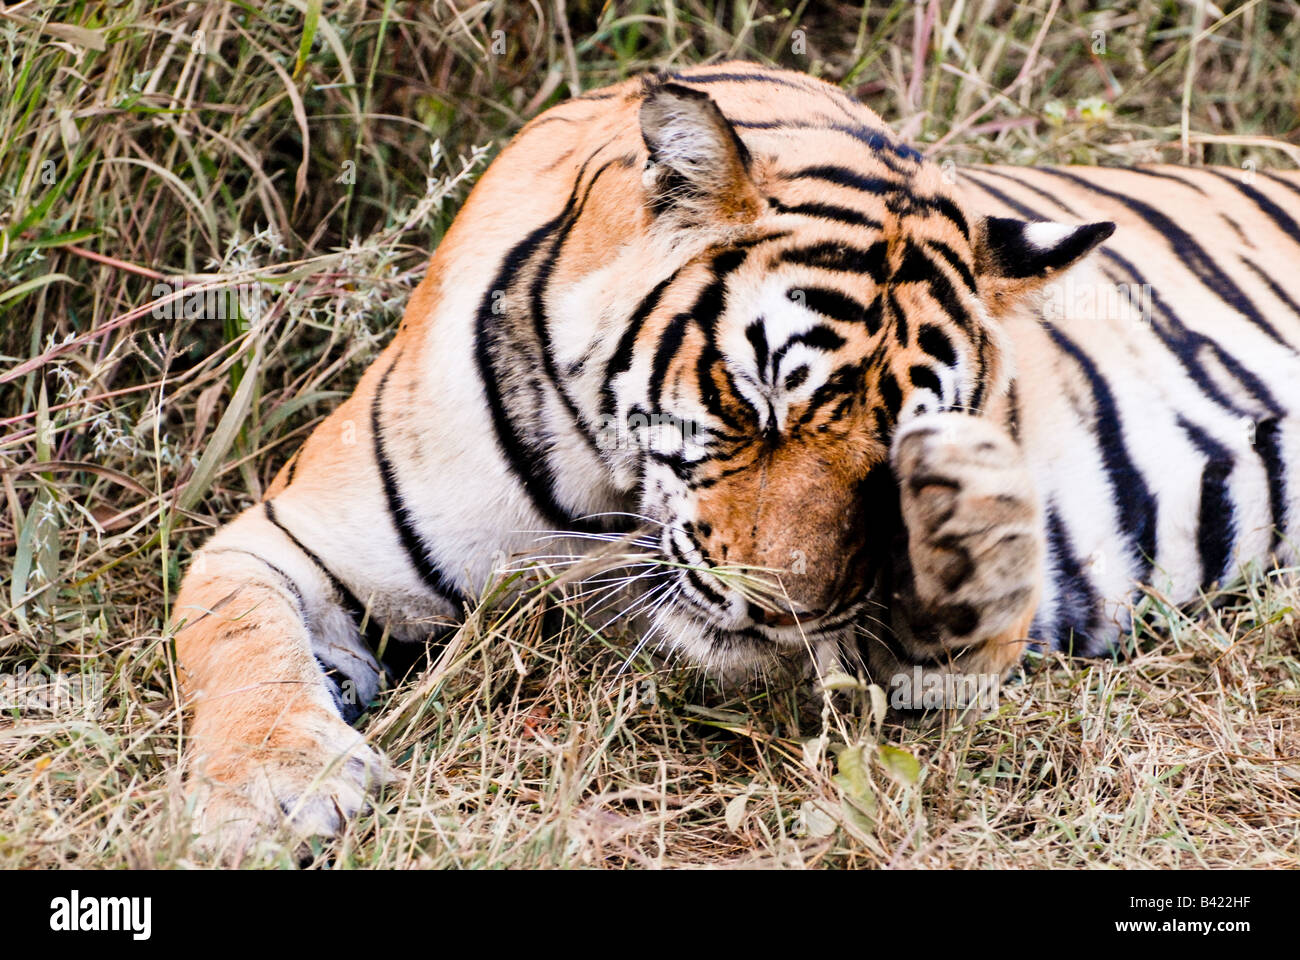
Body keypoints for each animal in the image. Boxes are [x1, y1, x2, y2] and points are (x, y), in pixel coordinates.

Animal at [173, 61, 1300, 846]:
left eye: (895, 455)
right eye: (755, 399)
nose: (777, 612)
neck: (600, 497)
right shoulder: (286, 537)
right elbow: (236, 638)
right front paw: (276, 792)